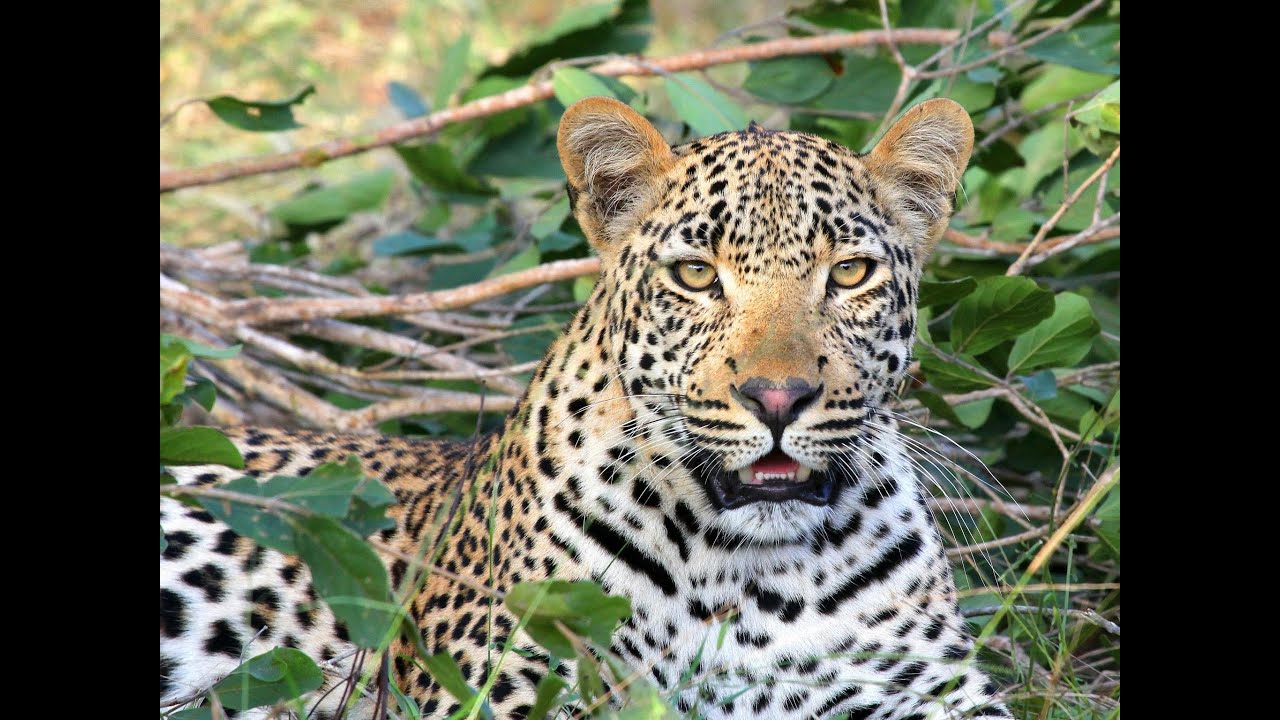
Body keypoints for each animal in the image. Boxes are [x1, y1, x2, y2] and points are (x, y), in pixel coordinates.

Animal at [160, 96, 1011, 719]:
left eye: (852, 273)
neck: (752, 577)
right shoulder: (502, 683)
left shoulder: (929, 692)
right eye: (697, 275)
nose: (778, 398)